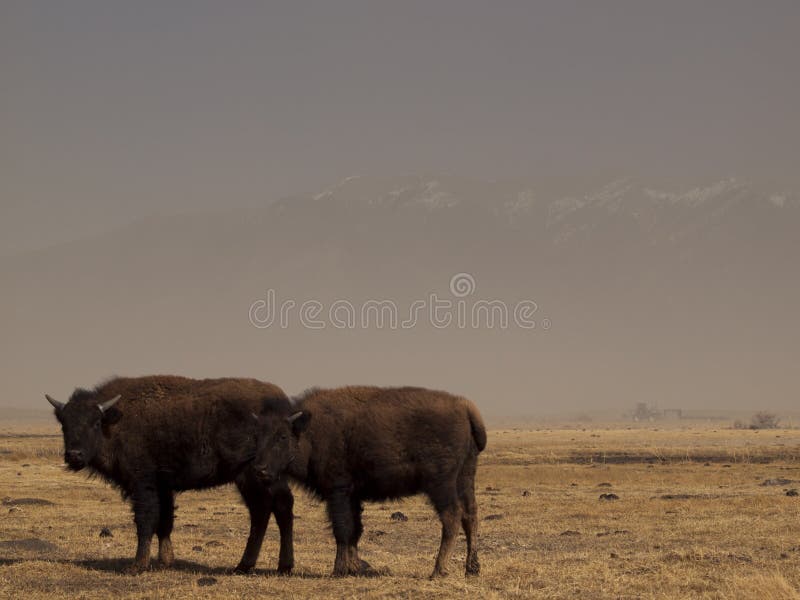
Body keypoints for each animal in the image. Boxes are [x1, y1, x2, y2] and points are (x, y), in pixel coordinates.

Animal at [46, 375, 295, 574]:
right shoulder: (163, 486)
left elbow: (145, 520)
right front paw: (166, 561)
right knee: (270, 510)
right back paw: (259, 566)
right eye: (64, 424)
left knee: (271, 508)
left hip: (253, 477)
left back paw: (264, 566)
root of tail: (282, 402)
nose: (74, 455)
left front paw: (138, 565)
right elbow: (165, 522)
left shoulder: (143, 483)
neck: (115, 420)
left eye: (95, 423)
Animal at [252, 386, 487, 578]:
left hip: (441, 485)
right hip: (465, 478)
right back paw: (471, 569)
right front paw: (356, 567)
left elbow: (343, 529)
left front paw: (339, 570)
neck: (309, 431)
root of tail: (464, 407)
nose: (259, 469)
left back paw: (438, 571)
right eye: (257, 437)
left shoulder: (338, 491)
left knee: (452, 517)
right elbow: (355, 530)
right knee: (470, 516)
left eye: (282, 437)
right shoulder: (353, 496)